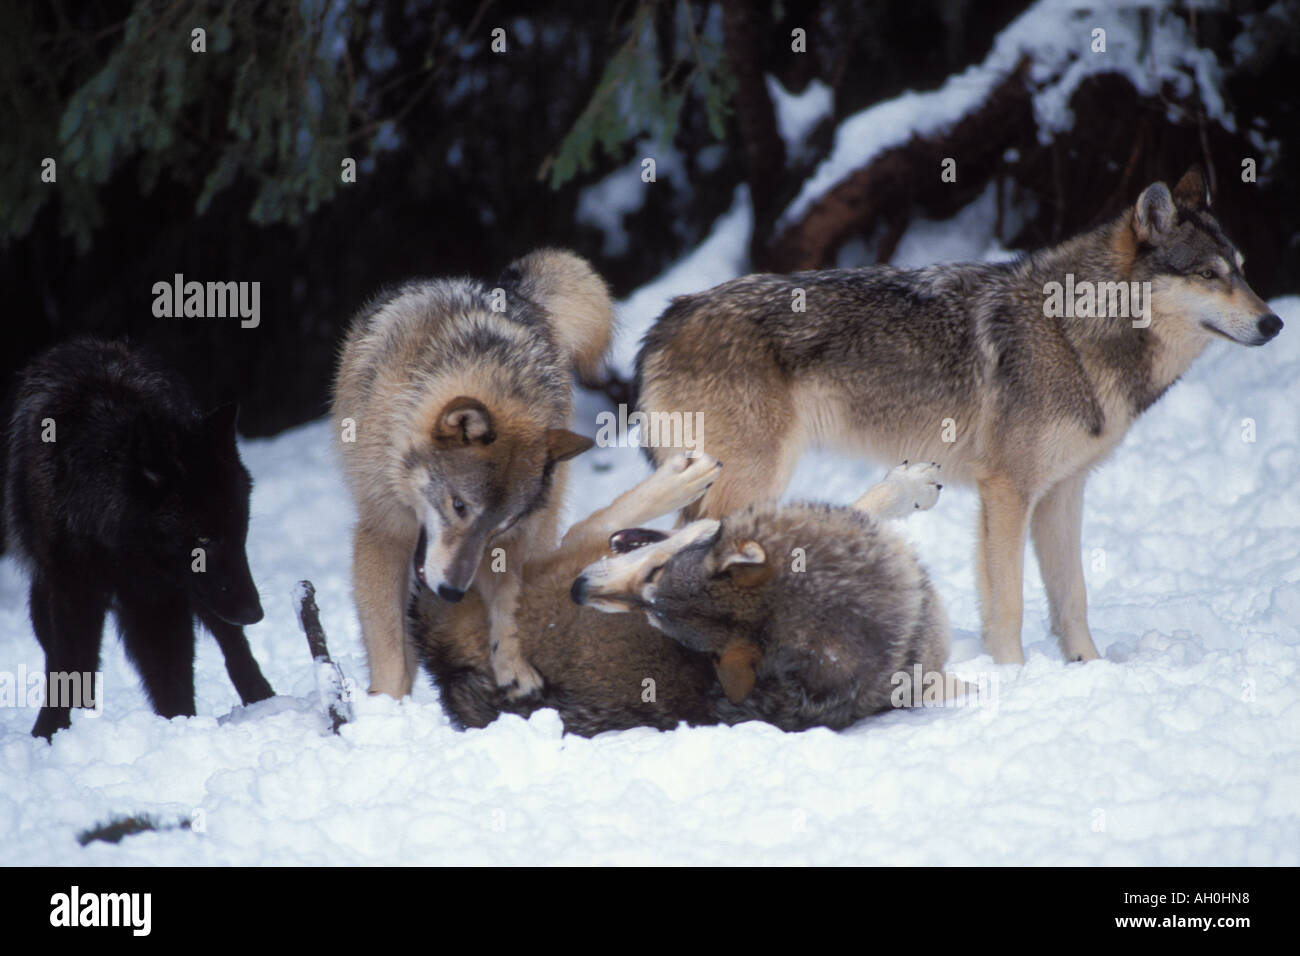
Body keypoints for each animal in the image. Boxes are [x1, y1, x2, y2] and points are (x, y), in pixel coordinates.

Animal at [4, 338, 272, 739]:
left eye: (241, 531)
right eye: (204, 539)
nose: (256, 613)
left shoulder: (161, 599)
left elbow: (173, 679)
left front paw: (180, 731)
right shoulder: (73, 593)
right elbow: (70, 666)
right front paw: (52, 735)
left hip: (202, 596)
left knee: (233, 646)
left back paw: (264, 698)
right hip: (43, 602)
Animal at [332, 248, 613, 699]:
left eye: (498, 525)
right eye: (459, 506)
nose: (450, 593)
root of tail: (511, 288)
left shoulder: (513, 538)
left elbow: (509, 604)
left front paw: (513, 666)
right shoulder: (384, 531)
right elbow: (388, 644)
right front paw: (387, 706)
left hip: (544, 523)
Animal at [413, 454, 957, 735]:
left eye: (657, 576)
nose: (580, 590)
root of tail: (442, 666)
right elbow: (868, 503)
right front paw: (908, 484)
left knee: (582, 527)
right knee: (584, 525)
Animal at [636, 167, 1282, 665]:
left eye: (1242, 268)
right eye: (1208, 275)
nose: (1274, 322)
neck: (1073, 332)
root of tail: (666, 318)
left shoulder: (1061, 494)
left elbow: (1072, 599)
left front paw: (1091, 670)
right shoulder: (1007, 491)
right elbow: (1010, 603)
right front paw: (1015, 676)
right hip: (747, 482)